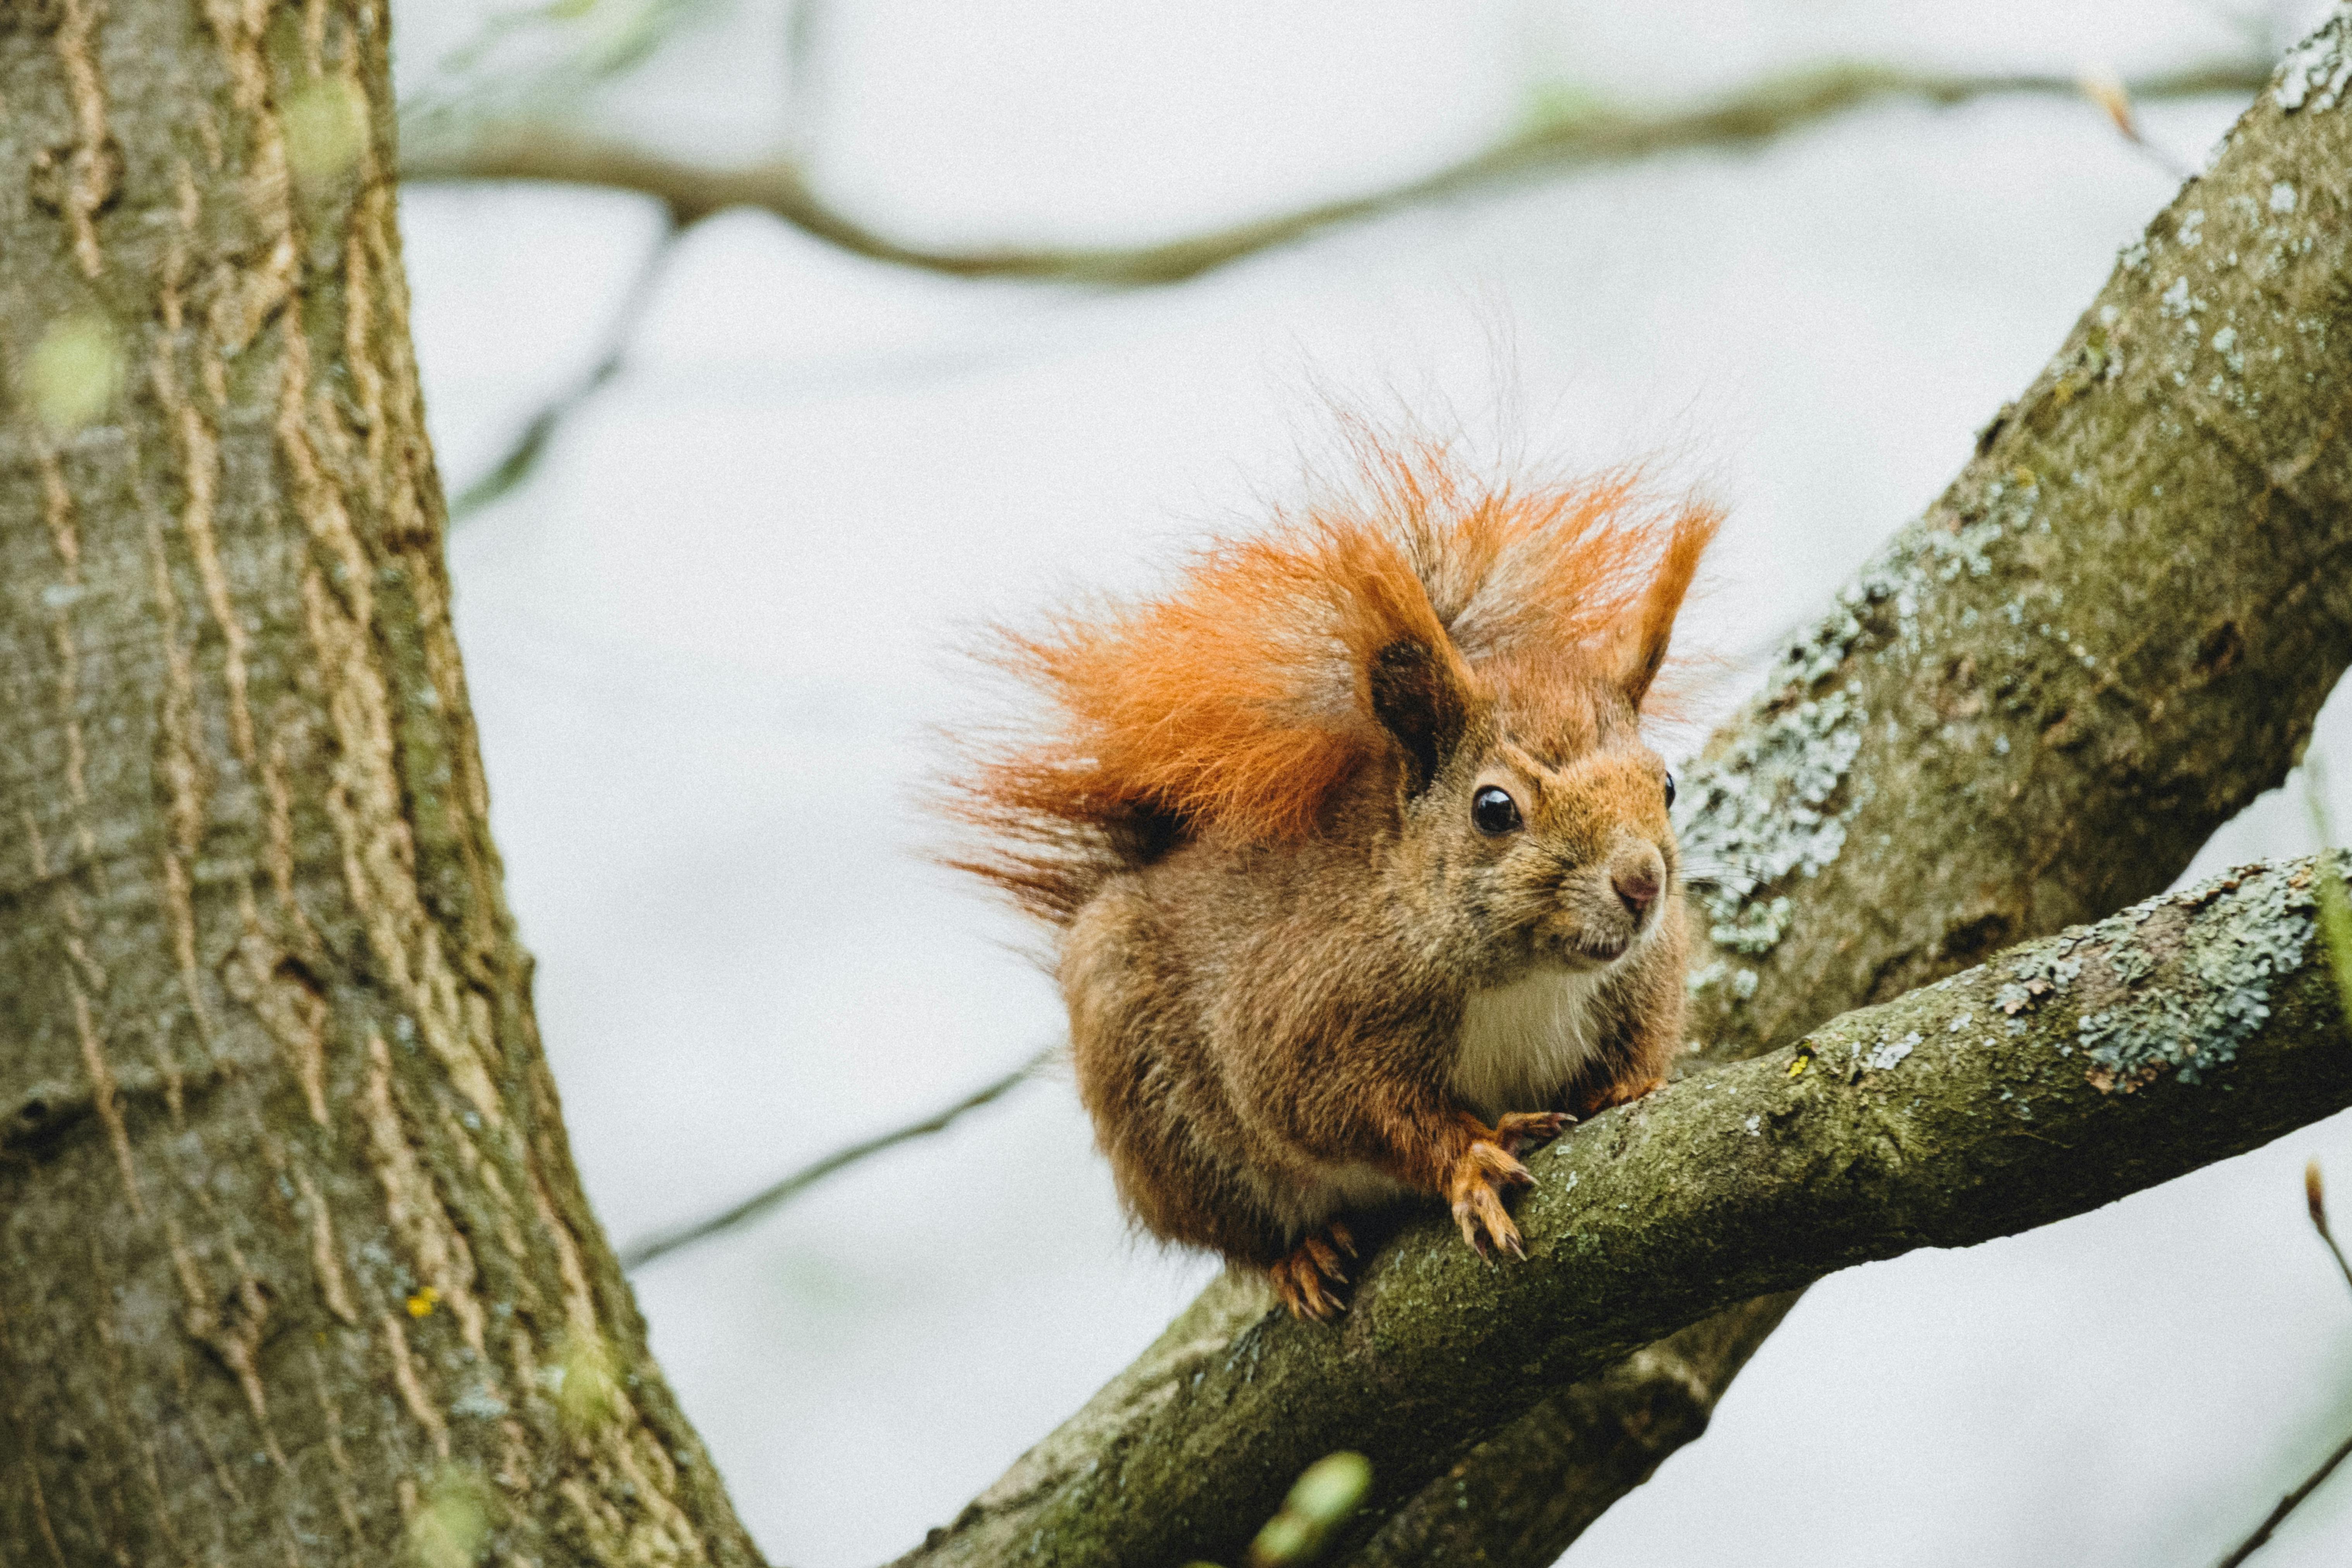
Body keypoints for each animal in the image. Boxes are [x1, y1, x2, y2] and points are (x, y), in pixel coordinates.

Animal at [945, 437, 1718, 1320]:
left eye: (1666, 784)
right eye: (1494, 808)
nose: (1642, 882)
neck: (1524, 978)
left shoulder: (1641, 981)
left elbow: (1639, 1049)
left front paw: (1628, 1090)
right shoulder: (1306, 1020)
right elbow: (1353, 1113)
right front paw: (1470, 1160)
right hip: (1156, 1108)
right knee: (1243, 1227)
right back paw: (1302, 1255)